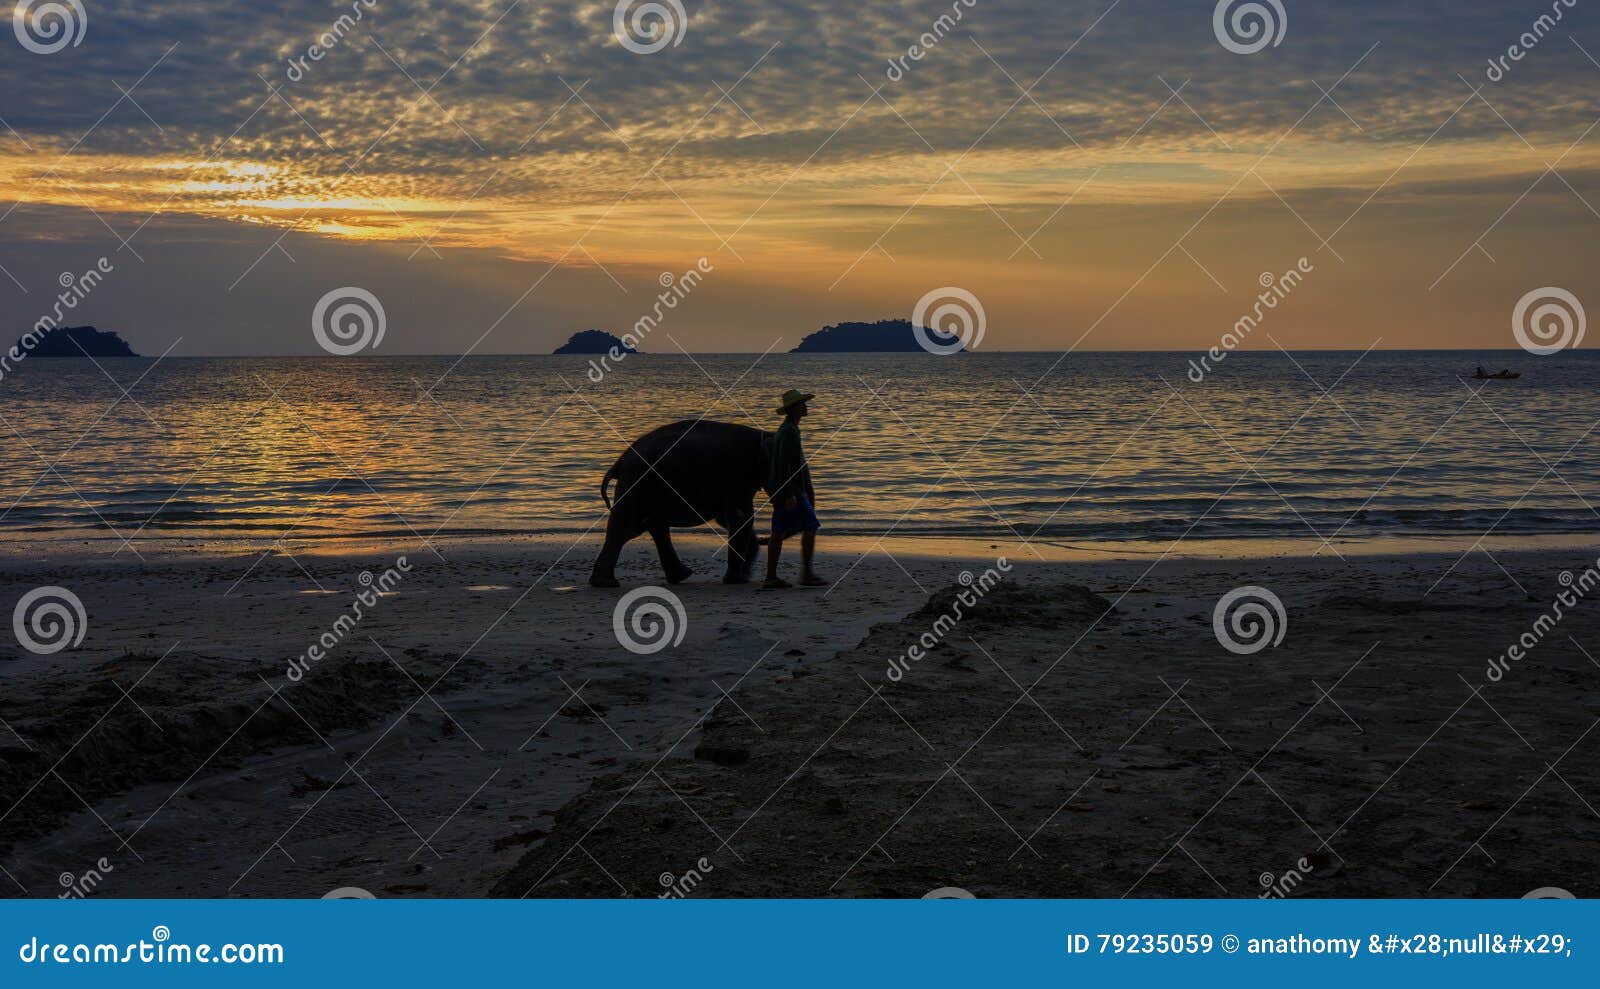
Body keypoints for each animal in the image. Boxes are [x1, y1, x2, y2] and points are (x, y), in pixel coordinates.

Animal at [589, 420, 773, 588]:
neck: (763, 435)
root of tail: (619, 463)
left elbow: (726, 518)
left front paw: (745, 574)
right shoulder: (737, 476)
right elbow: (741, 517)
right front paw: (738, 580)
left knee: (650, 527)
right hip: (637, 483)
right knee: (628, 529)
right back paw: (607, 583)